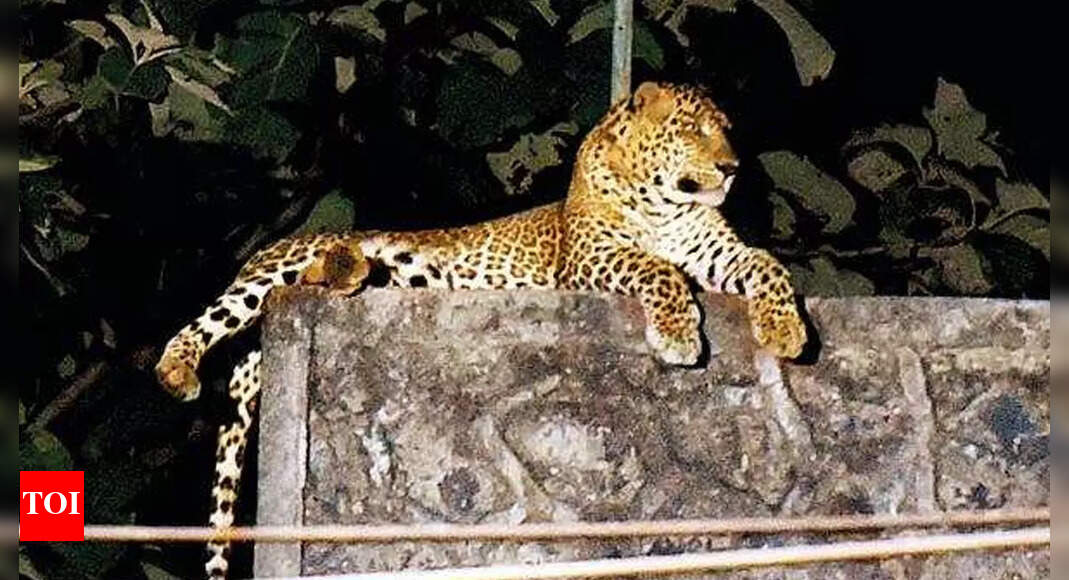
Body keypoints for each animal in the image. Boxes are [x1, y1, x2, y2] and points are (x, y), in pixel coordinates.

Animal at [155, 81, 808, 580]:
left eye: (725, 131)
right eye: (692, 129)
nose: (732, 167)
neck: (667, 205)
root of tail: (270, 249)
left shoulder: (718, 252)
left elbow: (767, 266)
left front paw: (787, 330)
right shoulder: (593, 260)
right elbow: (658, 269)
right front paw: (679, 335)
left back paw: (346, 271)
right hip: (275, 275)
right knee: (212, 318)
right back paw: (179, 368)